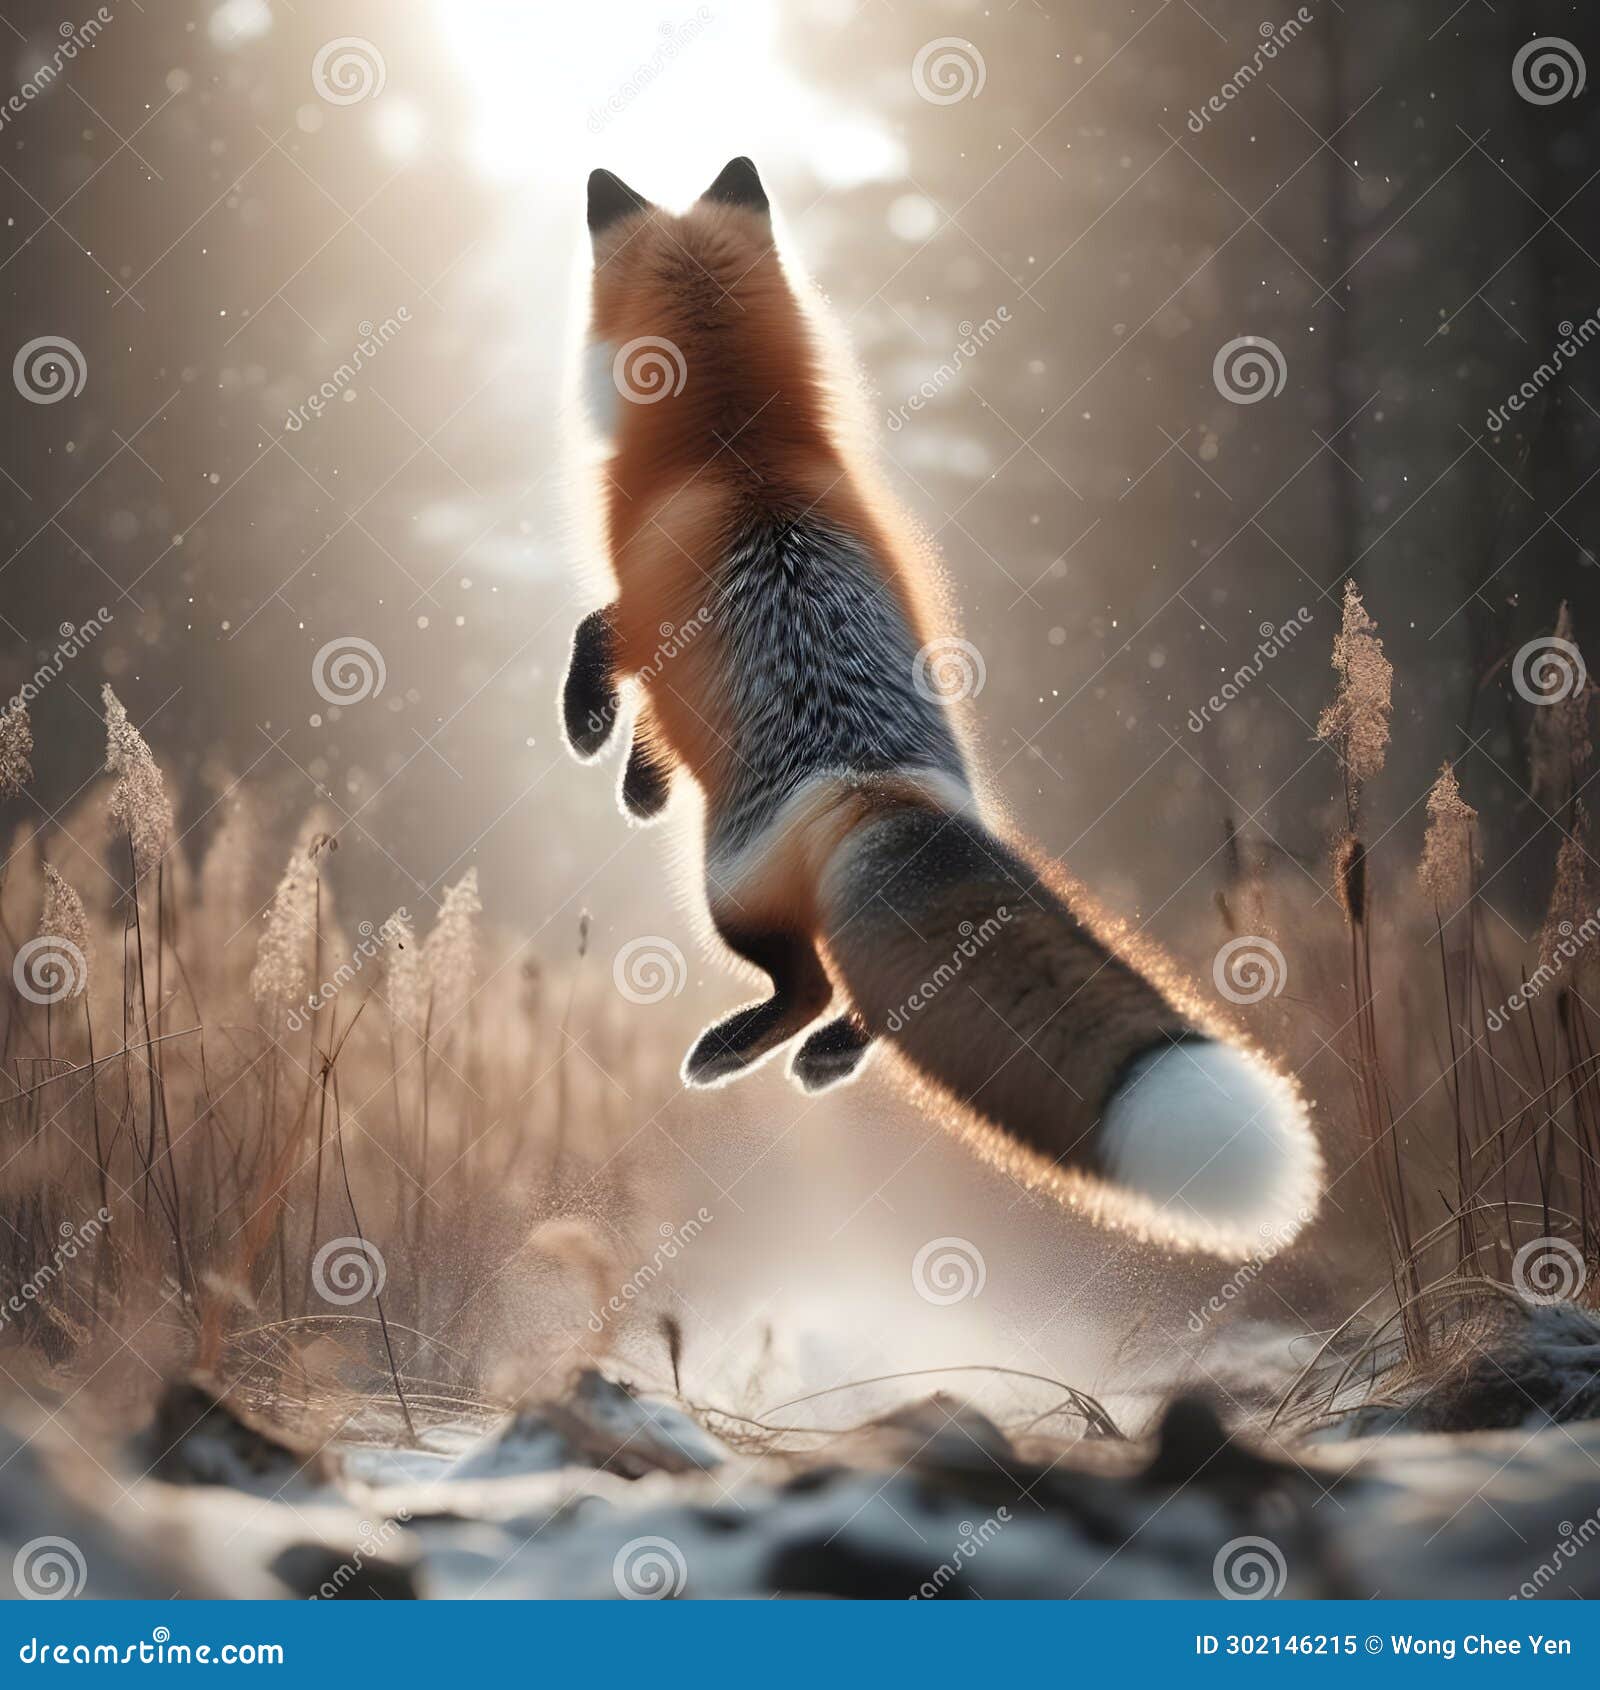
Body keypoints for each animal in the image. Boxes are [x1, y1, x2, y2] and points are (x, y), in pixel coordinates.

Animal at [563, 157, 1322, 1260]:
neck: (735, 443)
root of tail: (877, 790)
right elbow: (654, 736)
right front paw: (639, 783)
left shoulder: (638, 617)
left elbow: (594, 647)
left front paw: (594, 740)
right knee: (877, 1001)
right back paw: (830, 1056)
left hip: (724, 890)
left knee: (810, 986)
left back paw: (740, 1047)